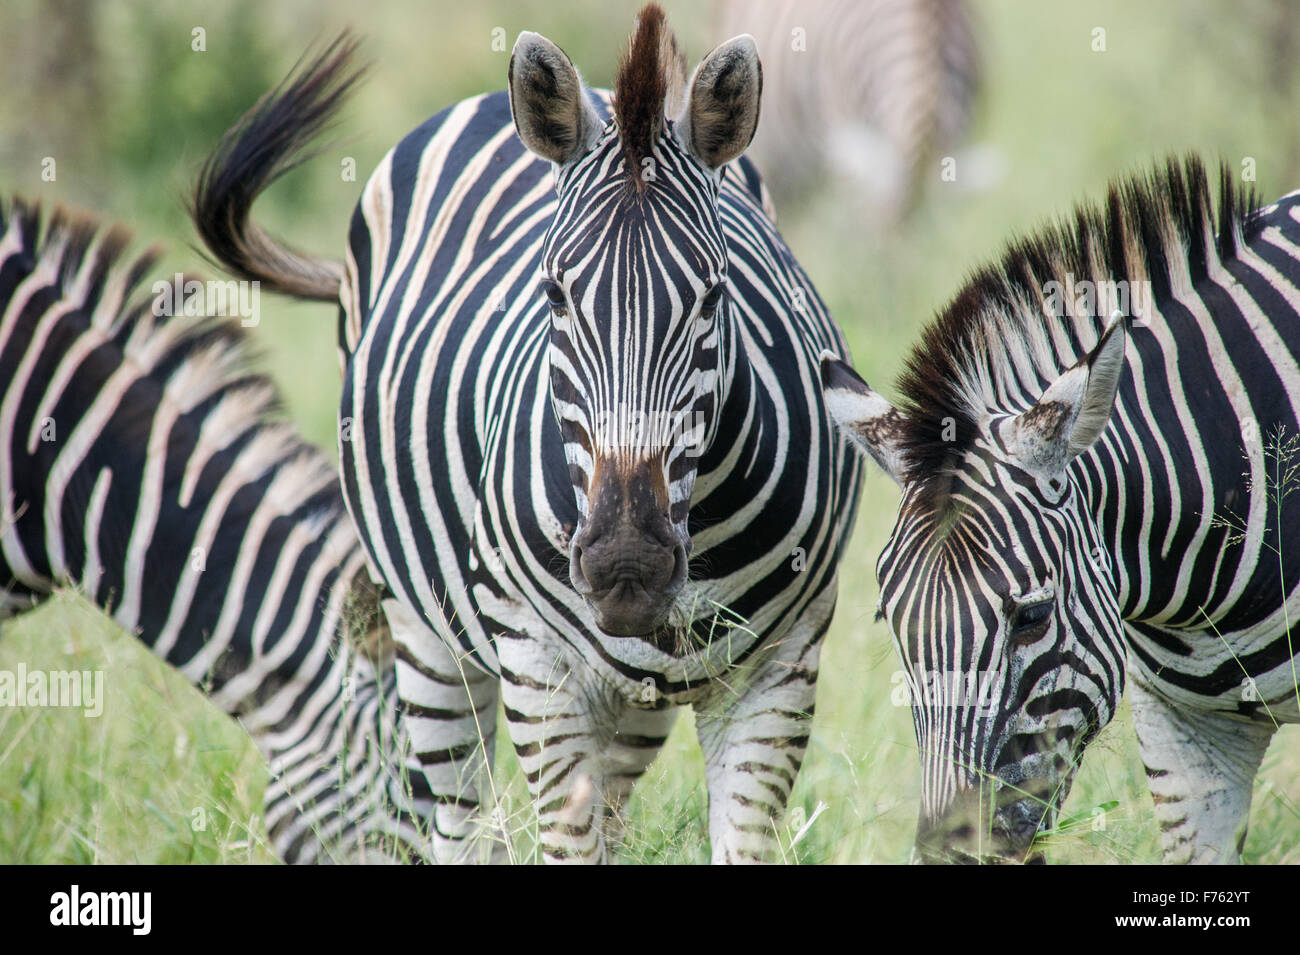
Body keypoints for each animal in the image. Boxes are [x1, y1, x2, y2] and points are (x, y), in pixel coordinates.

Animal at [193, 6, 863, 863]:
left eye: (713, 297)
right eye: (554, 293)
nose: (626, 567)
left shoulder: (782, 668)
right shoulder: (537, 667)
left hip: (633, 702)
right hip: (426, 639)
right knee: (455, 817)